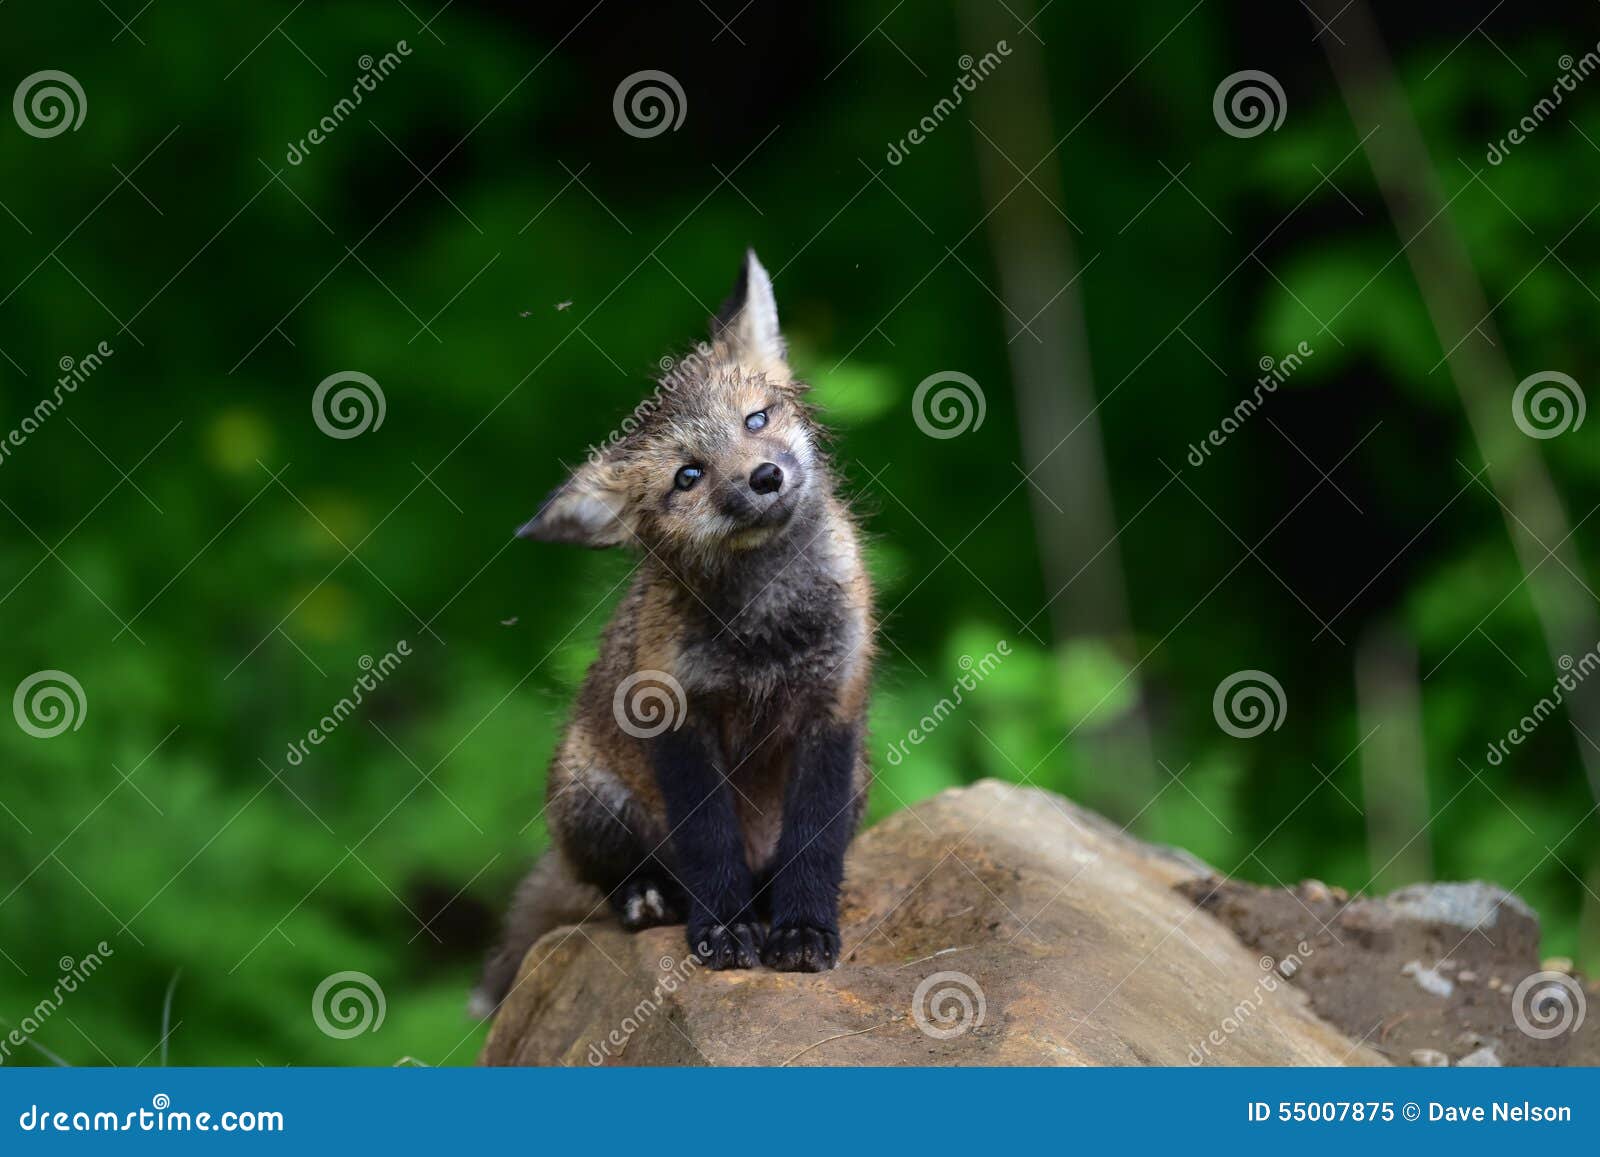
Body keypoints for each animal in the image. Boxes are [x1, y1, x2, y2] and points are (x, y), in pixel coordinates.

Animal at [472, 251, 875, 1016]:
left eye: (756, 418)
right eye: (688, 476)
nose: (764, 476)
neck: (767, 635)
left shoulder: (832, 709)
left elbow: (813, 845)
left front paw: (804, 929)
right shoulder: (676, 718)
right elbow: (710, 843)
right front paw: (724, 934)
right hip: (587, 795)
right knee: (617, 880)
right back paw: (651, 898)